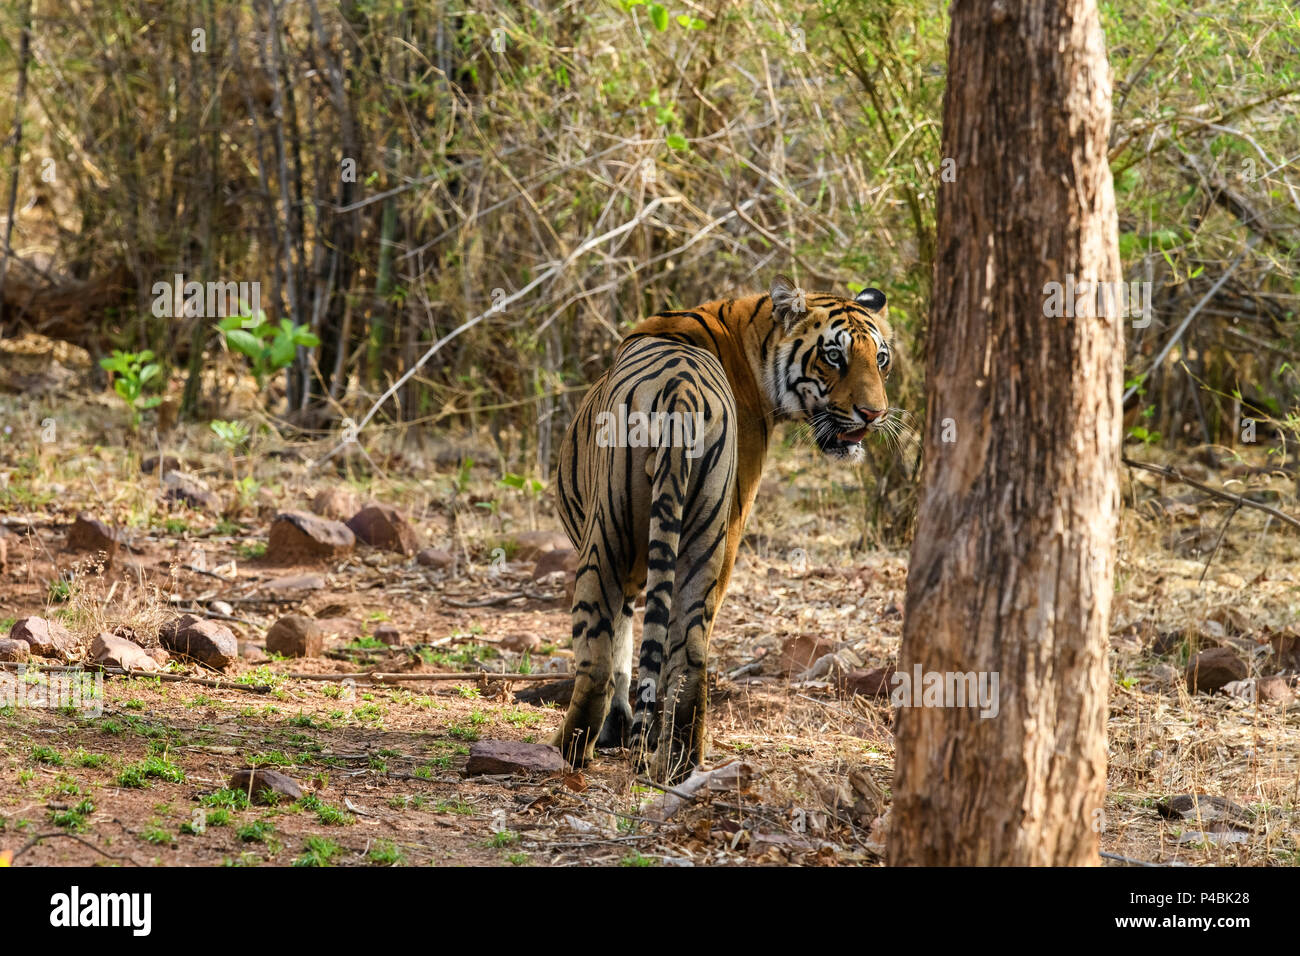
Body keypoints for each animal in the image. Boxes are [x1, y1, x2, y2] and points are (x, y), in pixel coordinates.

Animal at [551, 275, 895, 781]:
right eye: (835, 356)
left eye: (880, 358)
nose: (874, 414)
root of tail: (680, 390)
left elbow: (621, 645)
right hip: (698, 533)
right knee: (688, 653)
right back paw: (677, 762)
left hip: (614, 536)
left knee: (598, 657)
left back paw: (571, 751)